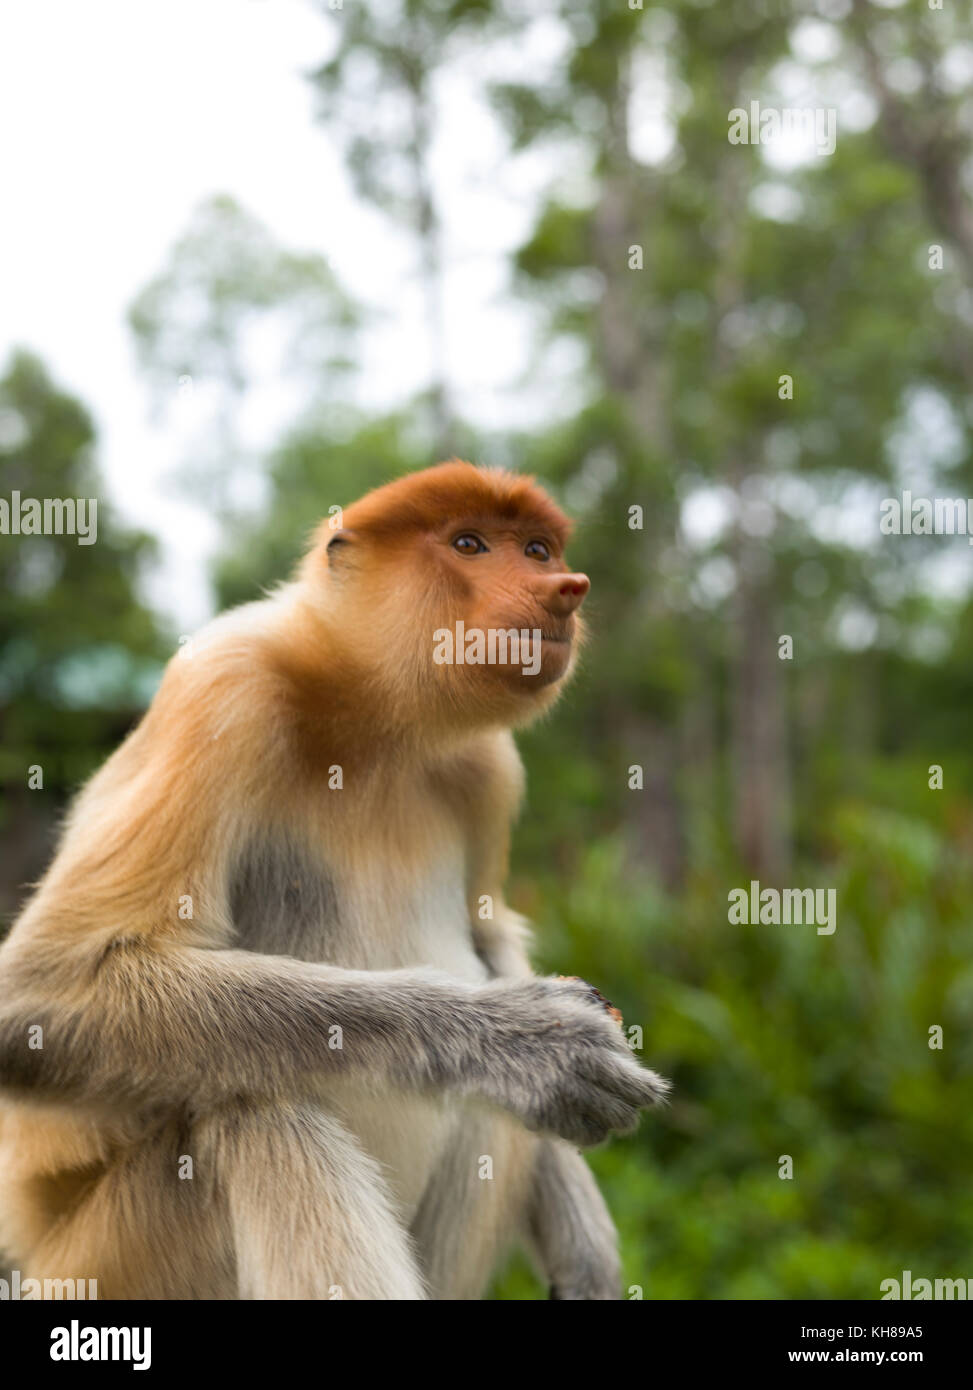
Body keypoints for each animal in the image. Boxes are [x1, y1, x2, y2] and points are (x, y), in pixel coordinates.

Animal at [0, 460, 669, 1300]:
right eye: (470, 544)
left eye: (538, 549)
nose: (564, 589)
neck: (377, 719)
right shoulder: (226, 687)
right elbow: (46, 984)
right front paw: (531, 1044)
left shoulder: (489, 769)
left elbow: (489, 940)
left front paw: (588, 1251)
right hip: (101, 1263)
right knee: (255, 1102)